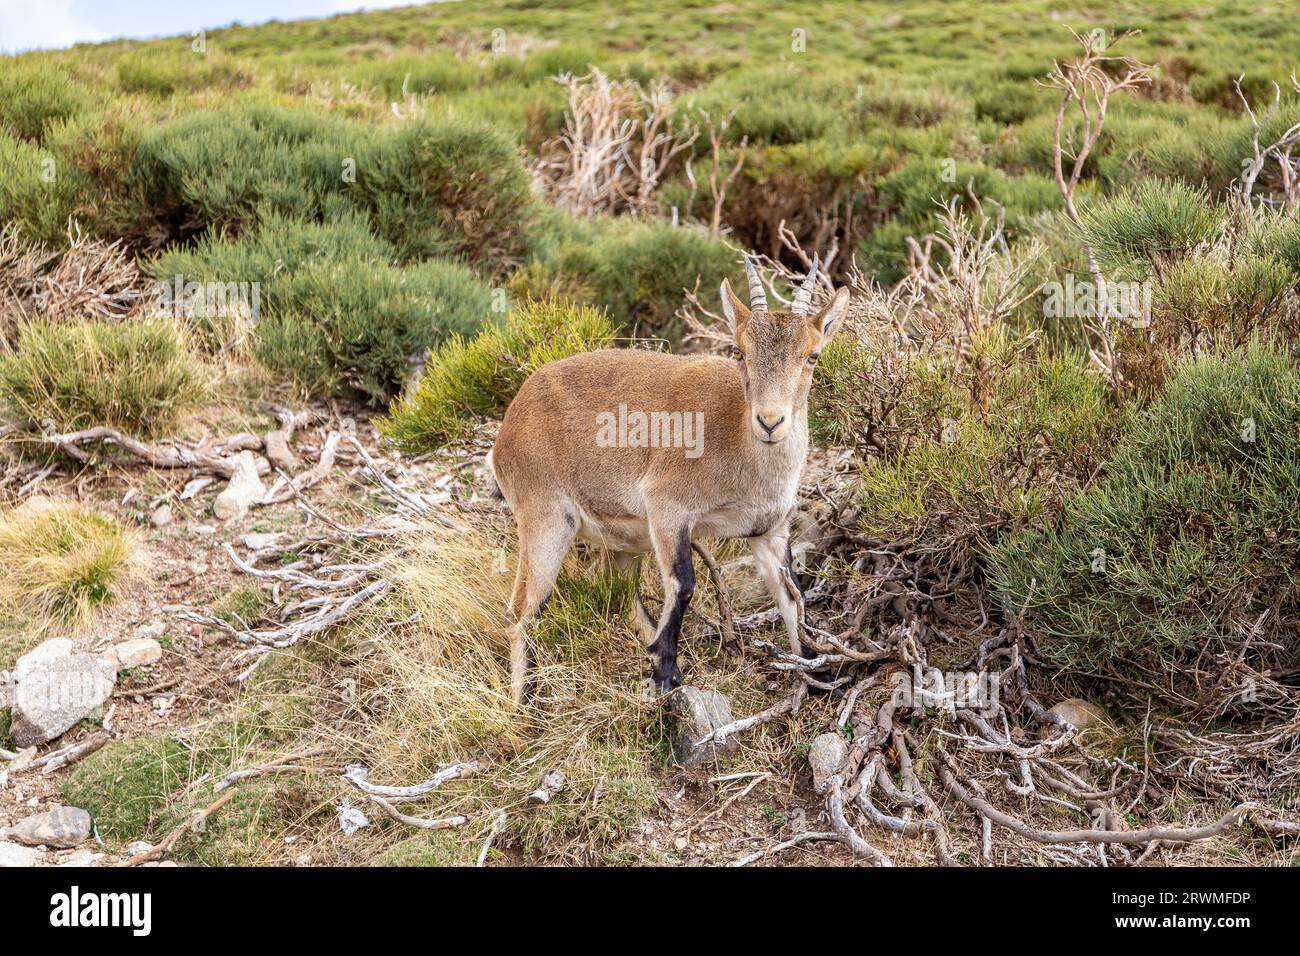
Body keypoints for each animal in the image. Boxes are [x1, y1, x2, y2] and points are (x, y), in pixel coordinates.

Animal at [489, 256, 849, 703]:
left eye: (813, 355)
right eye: (739, 351)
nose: (770, 422)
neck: (742, 452)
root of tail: (511, 421)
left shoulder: (769, 530)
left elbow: (793, 596)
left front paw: (818, 672)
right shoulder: (667, 508)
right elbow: (684, 583)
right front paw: (664, 673)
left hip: (623, 541)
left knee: (619, 597)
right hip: (546, 519)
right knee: (522, 611)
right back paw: (526, 702)